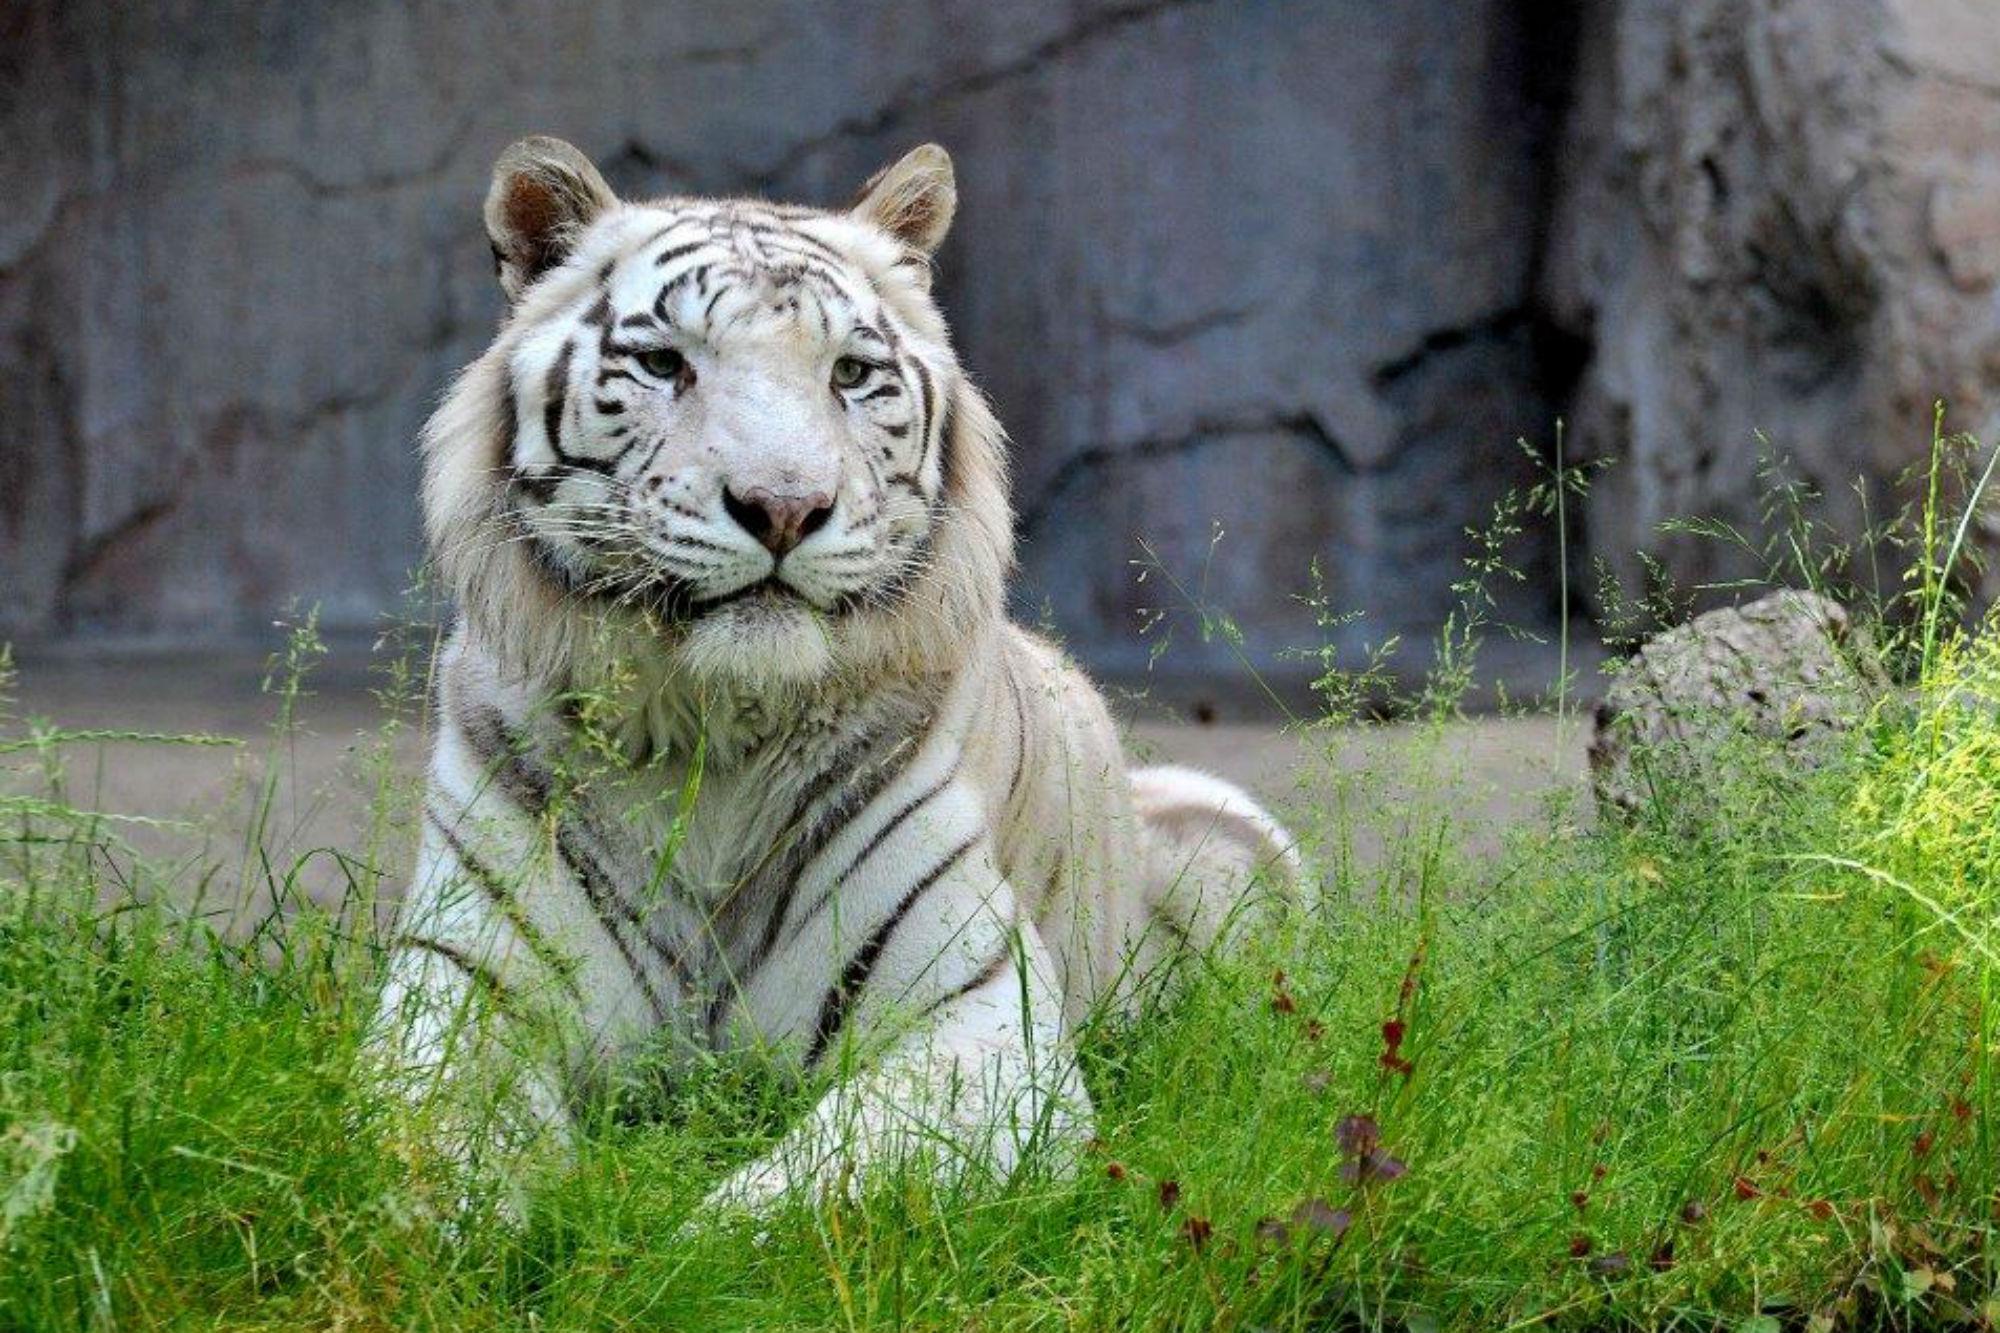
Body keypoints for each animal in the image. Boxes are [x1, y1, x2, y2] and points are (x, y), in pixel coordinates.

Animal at [375, 135, 1304, 1215]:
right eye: (662, 363)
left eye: (851, 374)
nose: (783, 506)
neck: (709, 743)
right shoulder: (459, 988)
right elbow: (425, 1160)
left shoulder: (984, 1021)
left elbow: (798, 1189)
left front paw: (665, 1235)